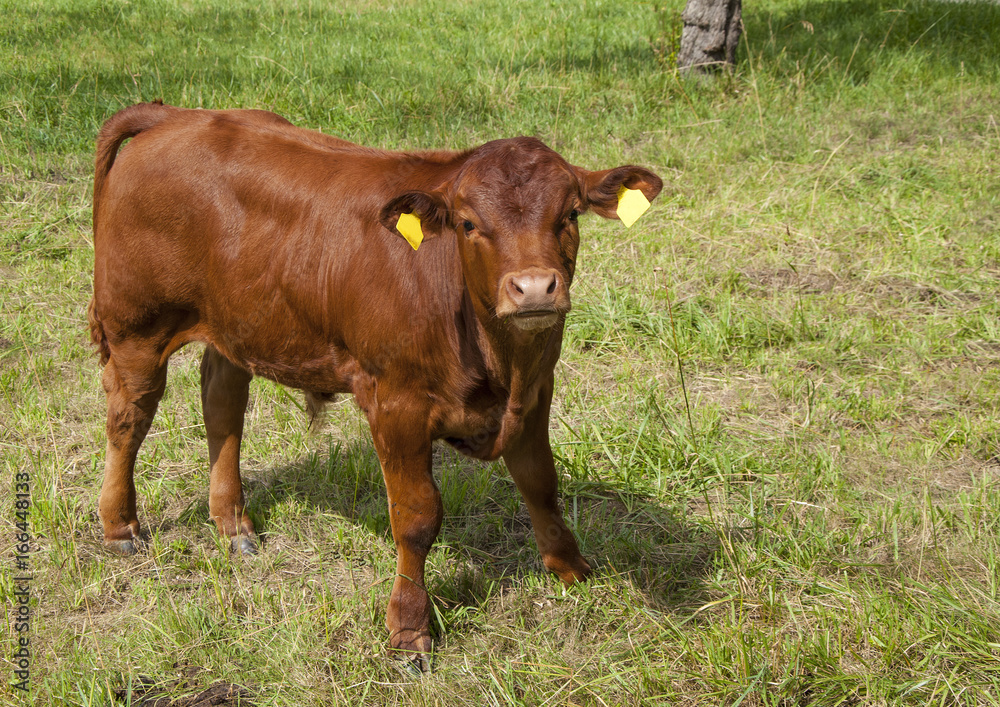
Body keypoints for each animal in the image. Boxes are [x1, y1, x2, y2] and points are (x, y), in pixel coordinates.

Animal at [88, 100, 662, 670]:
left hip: (239, 321)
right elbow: (417, 517)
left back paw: (233, 524)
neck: (503, 364)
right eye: (468, 223)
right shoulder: (397, 405)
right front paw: (409, 629)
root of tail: (176, 114)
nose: (535, 288)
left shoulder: (537, 390)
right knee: (129, 417)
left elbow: (541, 482)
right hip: (136, 324)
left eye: (570, 215)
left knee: (222, 400)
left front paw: (572, 569)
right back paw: (120, 527)